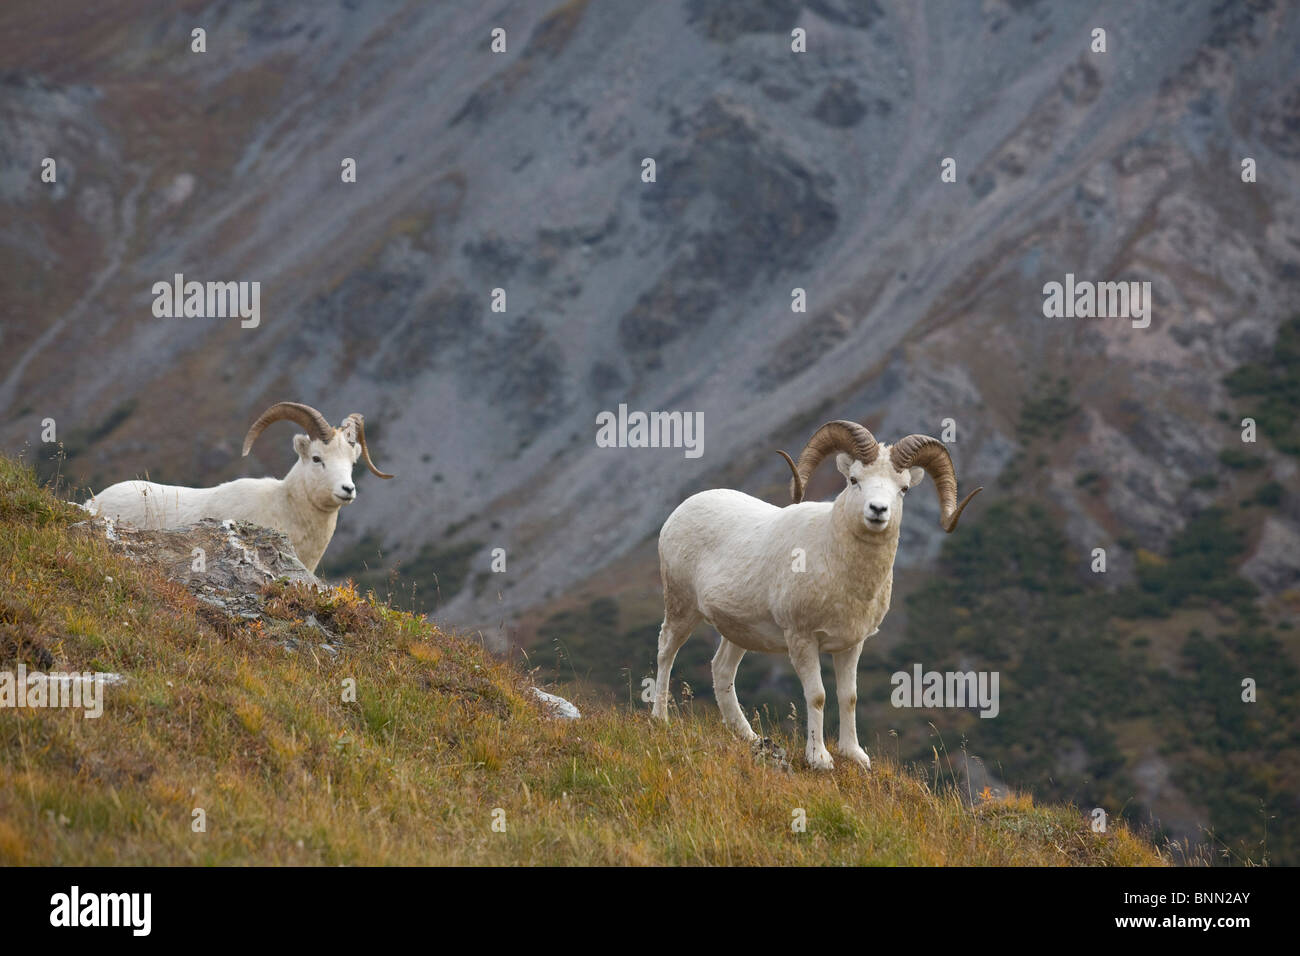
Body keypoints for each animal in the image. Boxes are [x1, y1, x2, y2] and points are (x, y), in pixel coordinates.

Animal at [651, 420, 981, 771]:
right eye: (854, 480)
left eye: (903, 488)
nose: (878, 510)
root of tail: (680, 511)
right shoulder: (802, 639)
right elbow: (818, 695)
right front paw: (820, 759)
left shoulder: (851, 645)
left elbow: (848, 696)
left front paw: (854, 755)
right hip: (681, 607)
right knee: (666, 651)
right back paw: (660, 718)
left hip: (738, 631)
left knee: (722, 670)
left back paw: (748, 736)